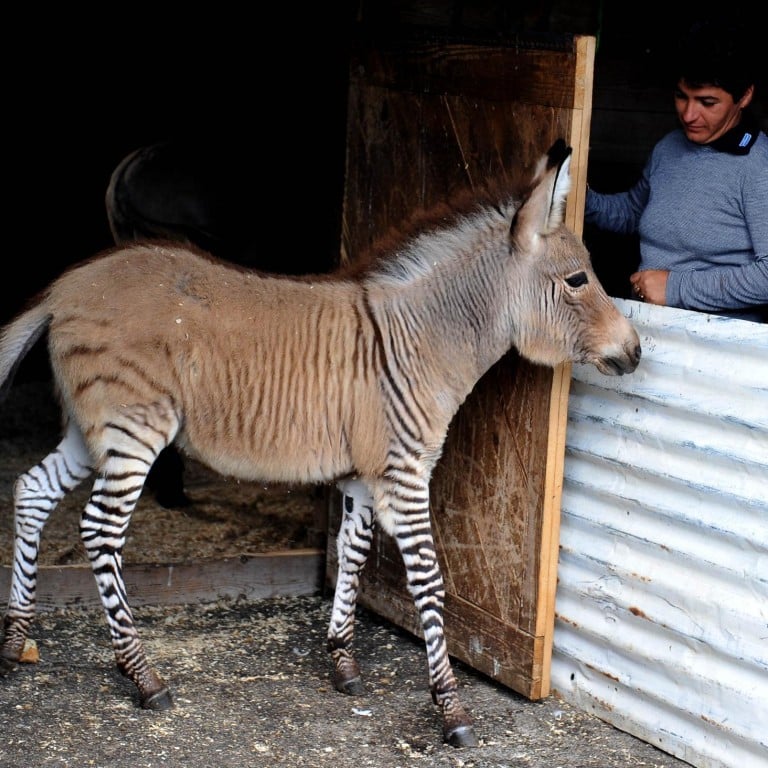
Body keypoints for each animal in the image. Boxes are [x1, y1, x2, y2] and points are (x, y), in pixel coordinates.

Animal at [0, 139, 641, 748]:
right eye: (578, 280)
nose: (636, 352)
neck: (421, 341)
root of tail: (64, 287)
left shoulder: (365, 473)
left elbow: (351, 551)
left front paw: (342, 661)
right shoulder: (405, 472)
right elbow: (428, 580)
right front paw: (452, 710)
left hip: (92, 431)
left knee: (32, 492)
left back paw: (17, 639)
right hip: (132, 427)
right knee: (98, 530)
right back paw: (142, 675)